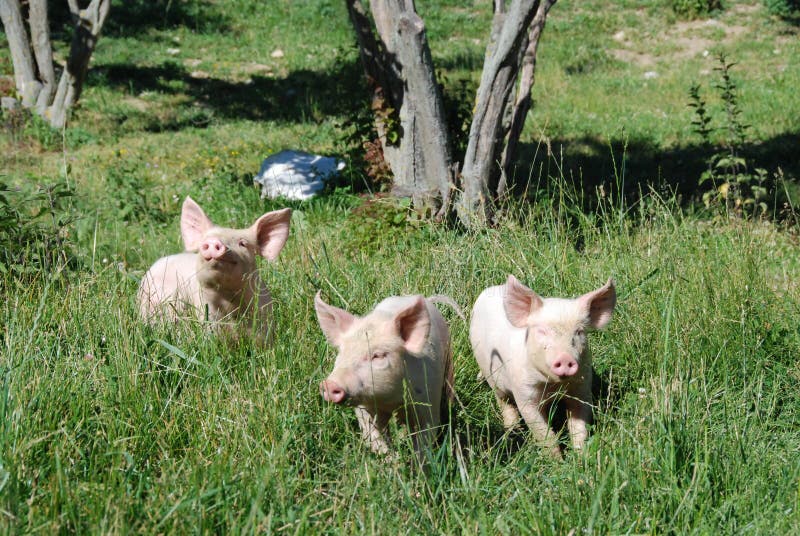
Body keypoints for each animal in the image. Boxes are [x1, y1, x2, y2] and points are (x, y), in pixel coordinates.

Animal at [314, 292, 455, 461]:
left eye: (378, 355)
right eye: (342, 353)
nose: (329, 384)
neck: (391, 400)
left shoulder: (428, 399)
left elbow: (425, 438)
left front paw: (416, 465)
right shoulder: (364, 407)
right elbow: (372, 434)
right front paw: (392, 459)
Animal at [470, 275, 616, 457]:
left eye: (579, 332)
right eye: (542, 331)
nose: (565, 358)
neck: (553, 386)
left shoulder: (582, 385)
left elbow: (579, 425)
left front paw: (580, 457)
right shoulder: (524, 393)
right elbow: (543, 432)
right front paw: (557, 461)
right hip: (490, 373)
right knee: (504, 401)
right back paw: (513, 429)